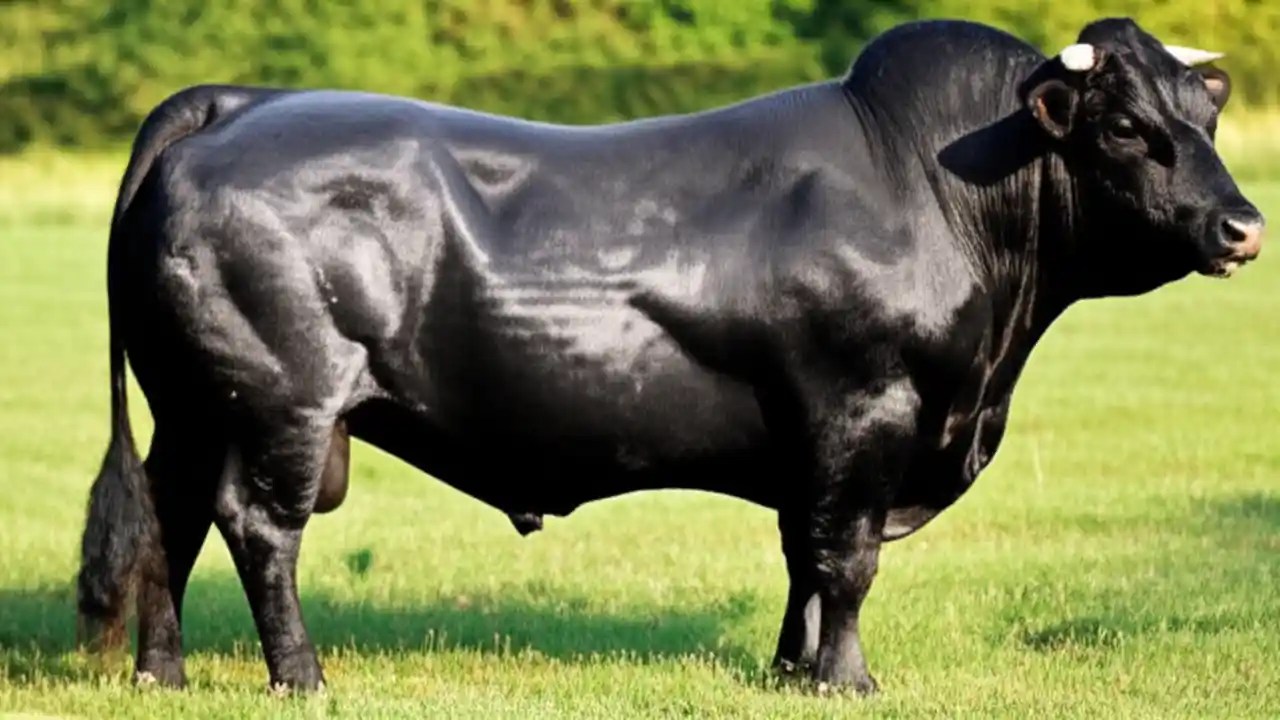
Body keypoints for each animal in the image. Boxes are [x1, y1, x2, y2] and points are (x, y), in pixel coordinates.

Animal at [75, 17, 1263, 695]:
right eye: (1124, 128)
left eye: (1202, 119)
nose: (1242, 227)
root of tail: (234, 103)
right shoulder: (865, 412)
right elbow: (846, 560)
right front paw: (846, 681)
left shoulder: (817, 446)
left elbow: (801, 556)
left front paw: (788, 671)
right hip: (284, 403)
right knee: (257, 529)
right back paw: (302, 676)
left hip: (194, 406)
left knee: (170, 520)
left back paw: (162, 674)